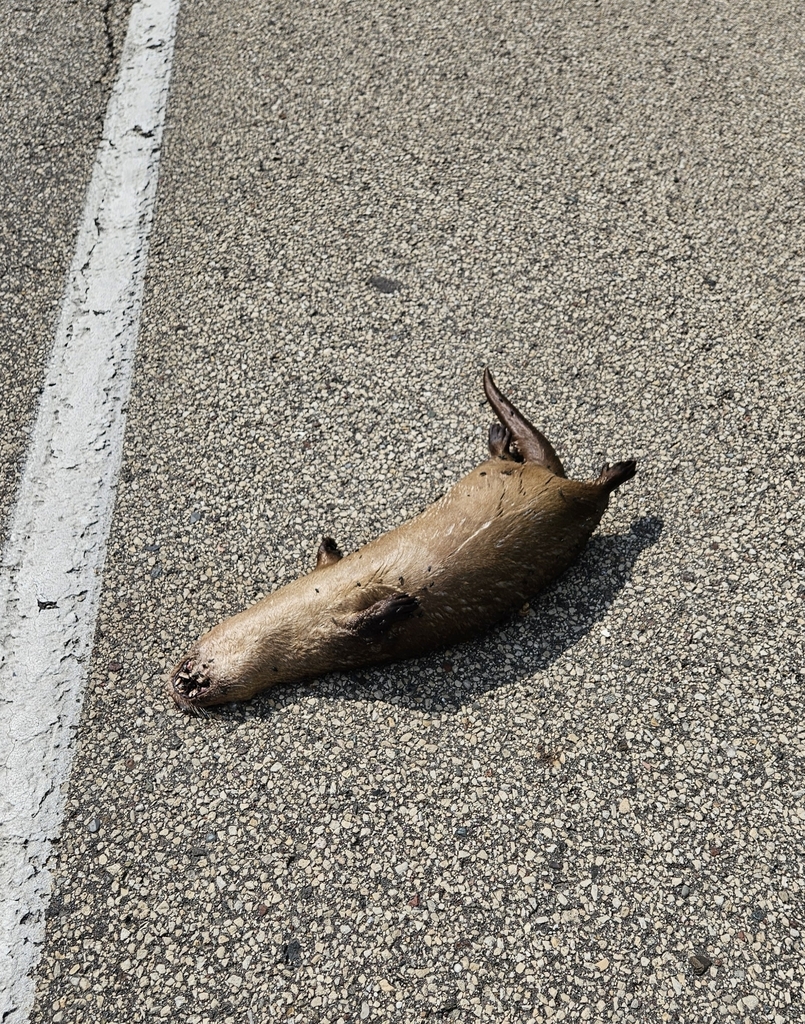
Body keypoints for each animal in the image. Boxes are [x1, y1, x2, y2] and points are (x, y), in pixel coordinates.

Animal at [169, 370, 636, 710]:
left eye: (188, 661)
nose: (179, 684)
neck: (306, 608)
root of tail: (554, 480)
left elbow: (349, 591)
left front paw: (390, 594)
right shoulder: (334, 639)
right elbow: (367, 627)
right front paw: (400, 604)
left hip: (569, 502)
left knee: (587, 488)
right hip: (573, 505)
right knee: (587, 489)